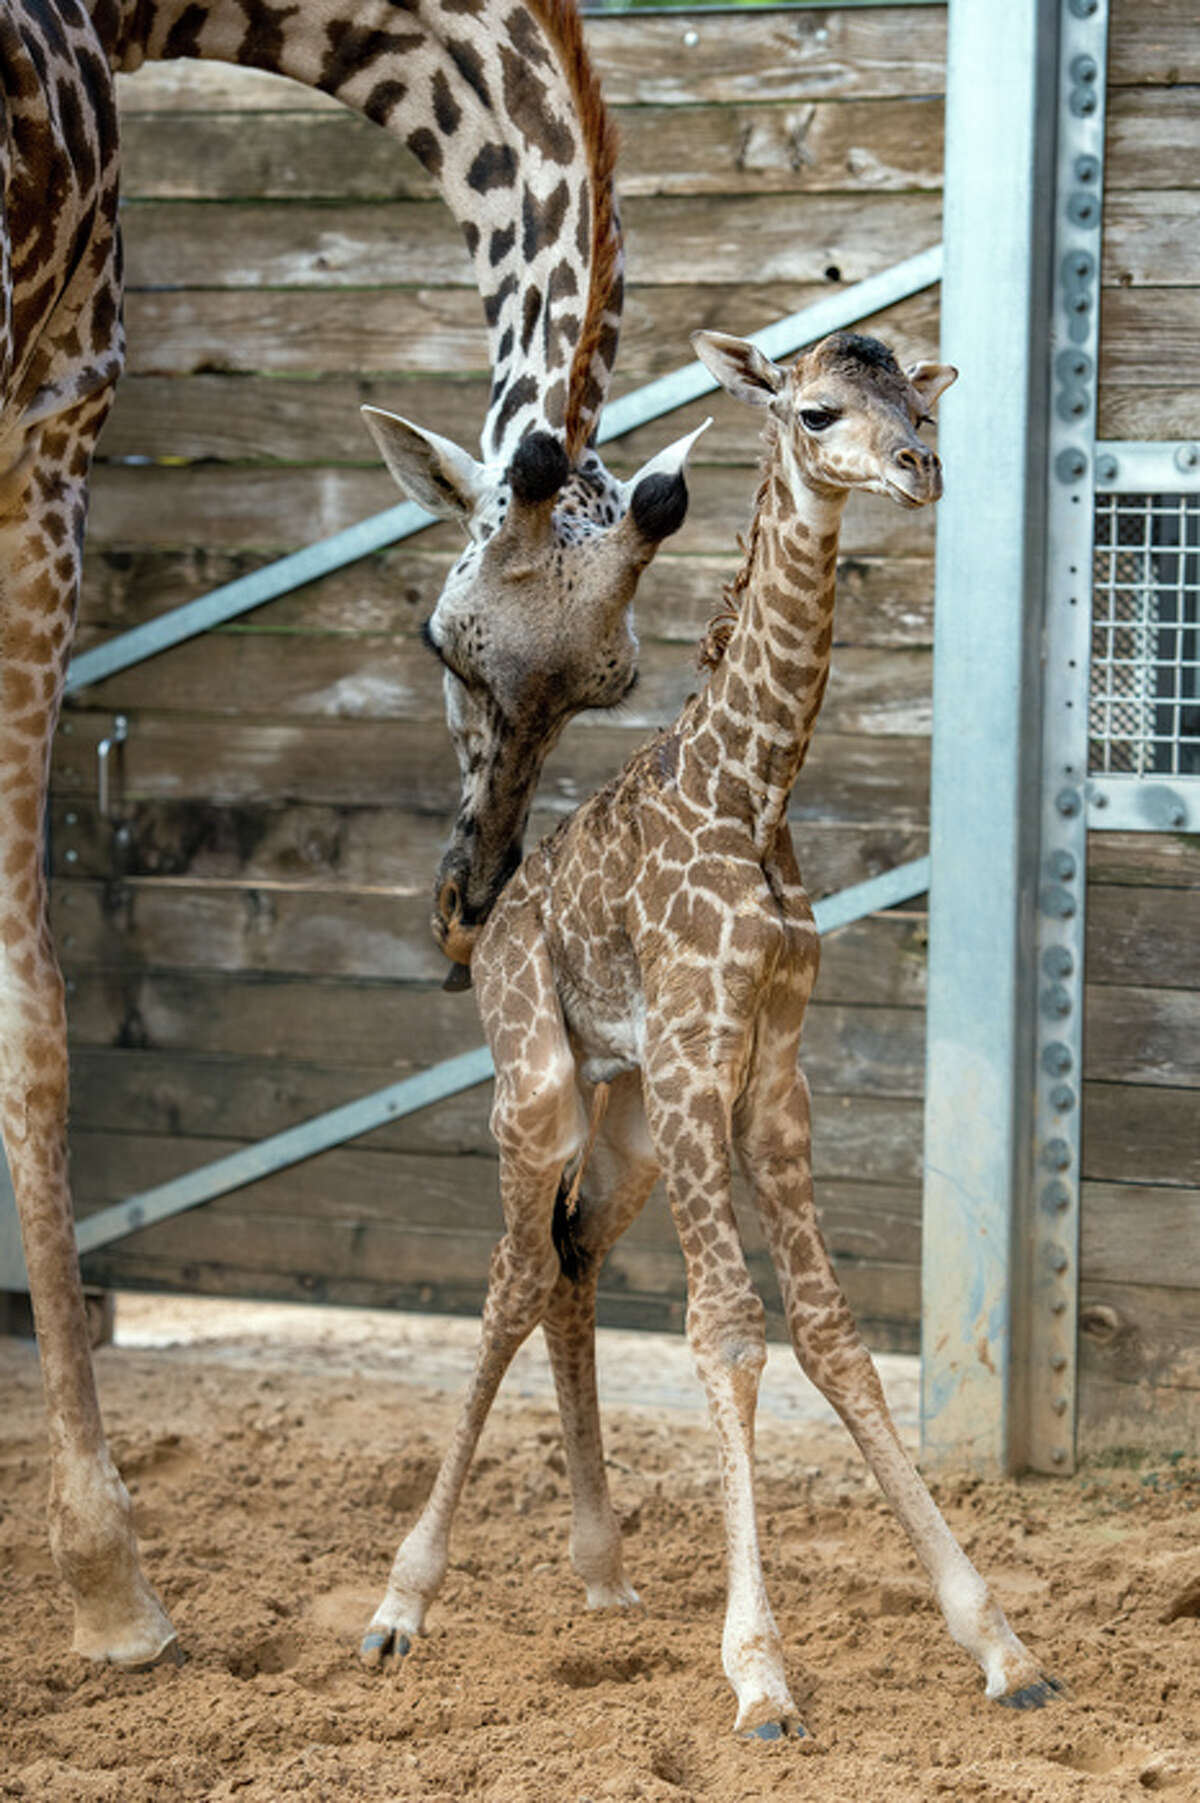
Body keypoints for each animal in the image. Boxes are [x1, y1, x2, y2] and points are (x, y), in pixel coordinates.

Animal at [0, 0, 693, 1665]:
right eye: (443, 644)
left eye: (613, 685)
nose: (467, 901)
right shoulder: (51, 413)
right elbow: (35, 1001)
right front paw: (111, 1581)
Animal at [362, 328, 1062, 1737]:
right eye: (817, 410)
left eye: (919, 403)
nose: (920, 470)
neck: (753, 788)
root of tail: (490, 925)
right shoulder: (699, 1053)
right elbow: (729, 1330)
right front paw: (759, 1672)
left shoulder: (772, 1070)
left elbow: (832, 1333)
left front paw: (996, 1641)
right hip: (541, 1086)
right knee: (509, 1278)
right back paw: (401, 1603)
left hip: (628, 1120)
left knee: (569, 1265)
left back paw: (602, 1570)